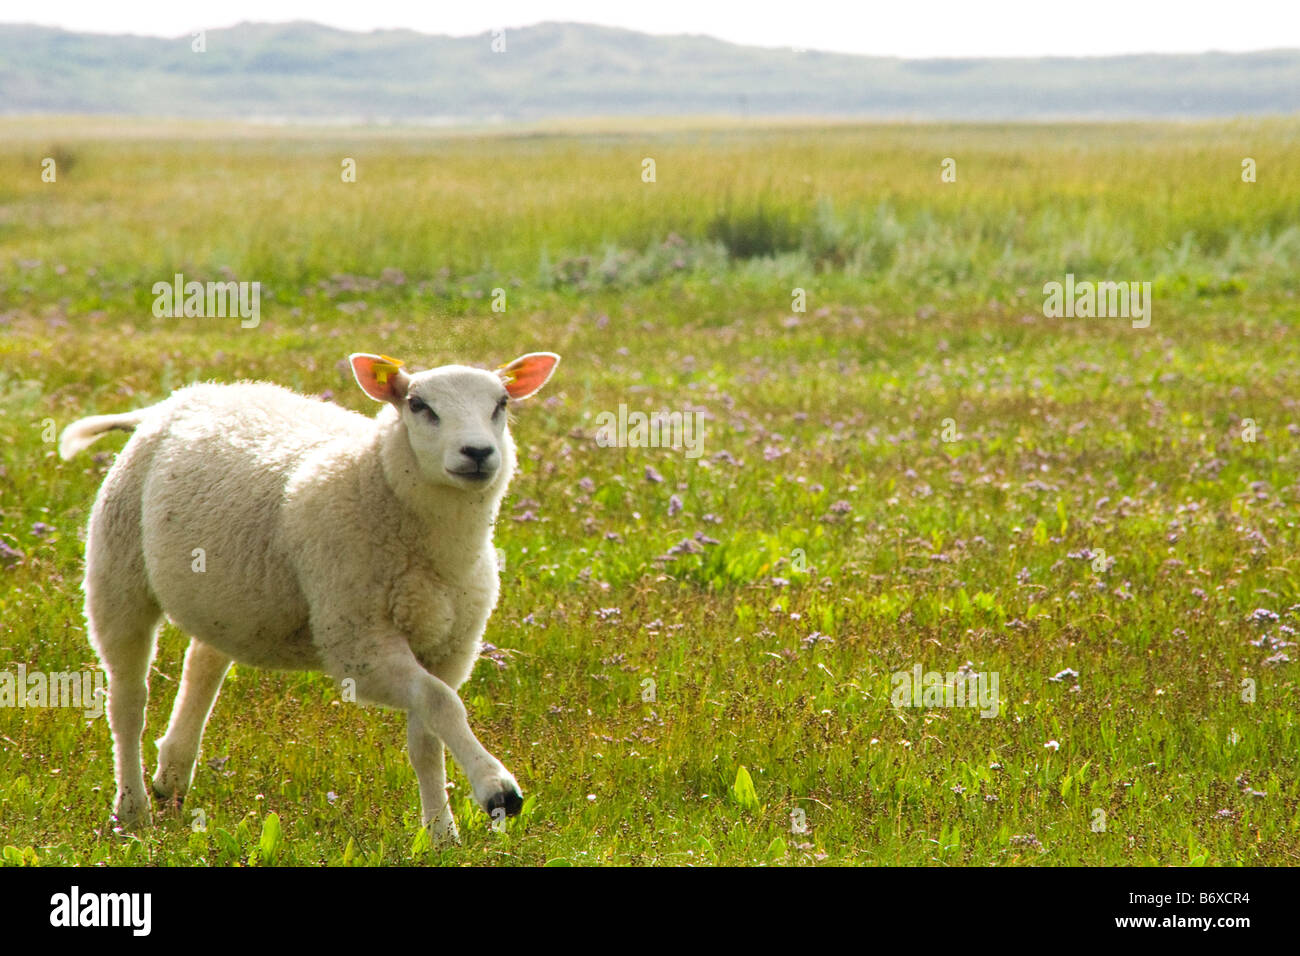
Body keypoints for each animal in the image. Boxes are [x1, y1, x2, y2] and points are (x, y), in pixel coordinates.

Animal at [59, 350, 560, 842]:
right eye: (419, 405)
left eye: (501, 404)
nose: (478, 452)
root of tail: (180, 399)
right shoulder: (357, 644)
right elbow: (441, 703)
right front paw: (498, 790)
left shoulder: (452, 645)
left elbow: (428, 736)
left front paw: (441, 833)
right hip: (118, 573)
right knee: (128, 701)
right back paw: (133, 809)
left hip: (228, 597)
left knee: (203, 662)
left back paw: (172, 776)